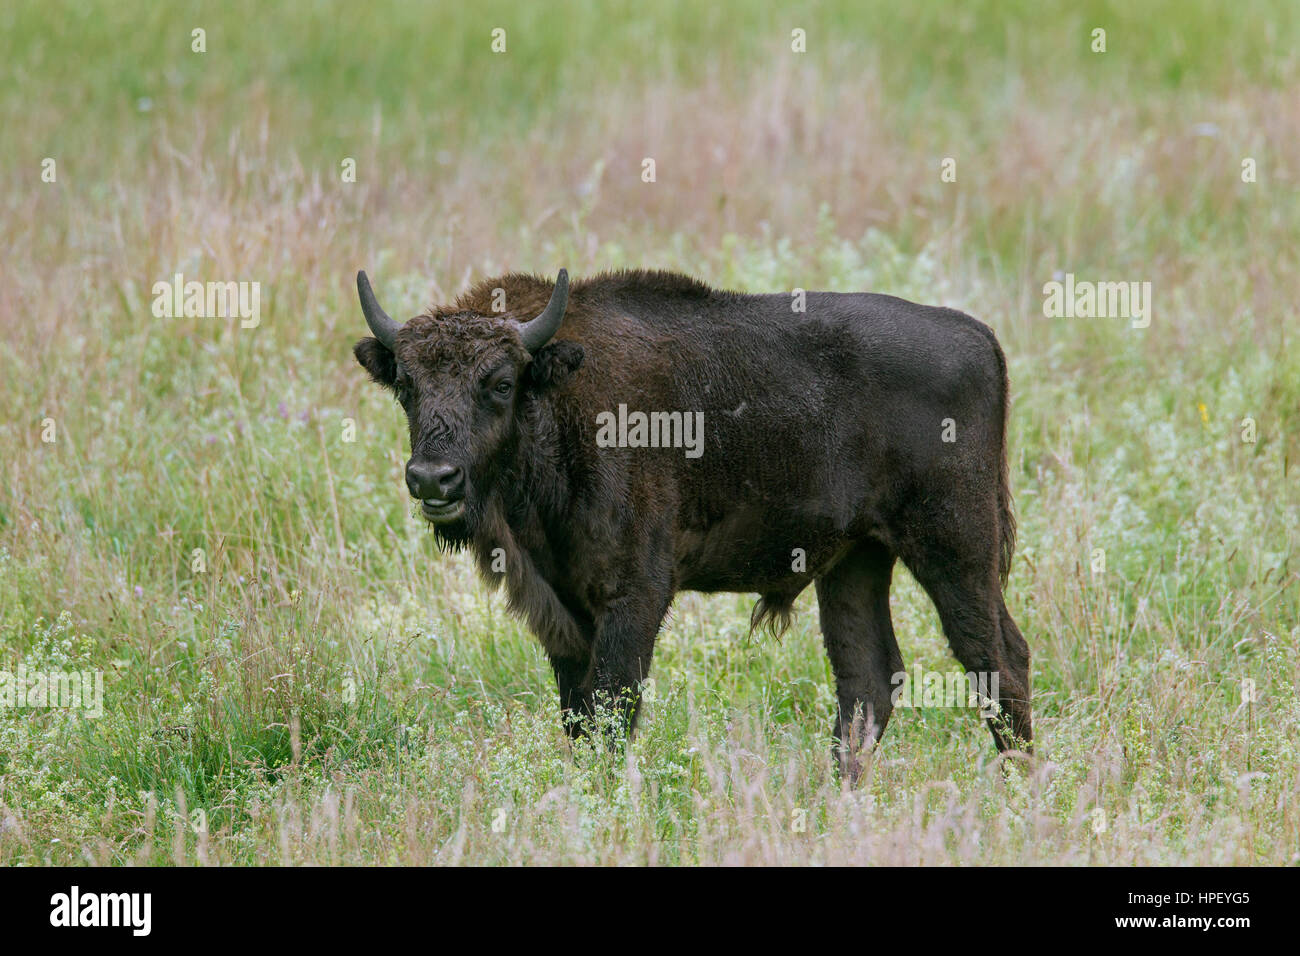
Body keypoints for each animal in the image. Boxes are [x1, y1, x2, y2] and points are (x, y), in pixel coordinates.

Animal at [354, 267, 1031, 780]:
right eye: (407, 385)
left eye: (498, 383)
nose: (433, 479)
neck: (558, 395)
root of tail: (980, 338)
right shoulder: (564, 616)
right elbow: (580, 716)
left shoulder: (634, 598)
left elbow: (612, 710)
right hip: (856, 559)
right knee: (867, 678)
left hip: (954, 550)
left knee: (996, 658)